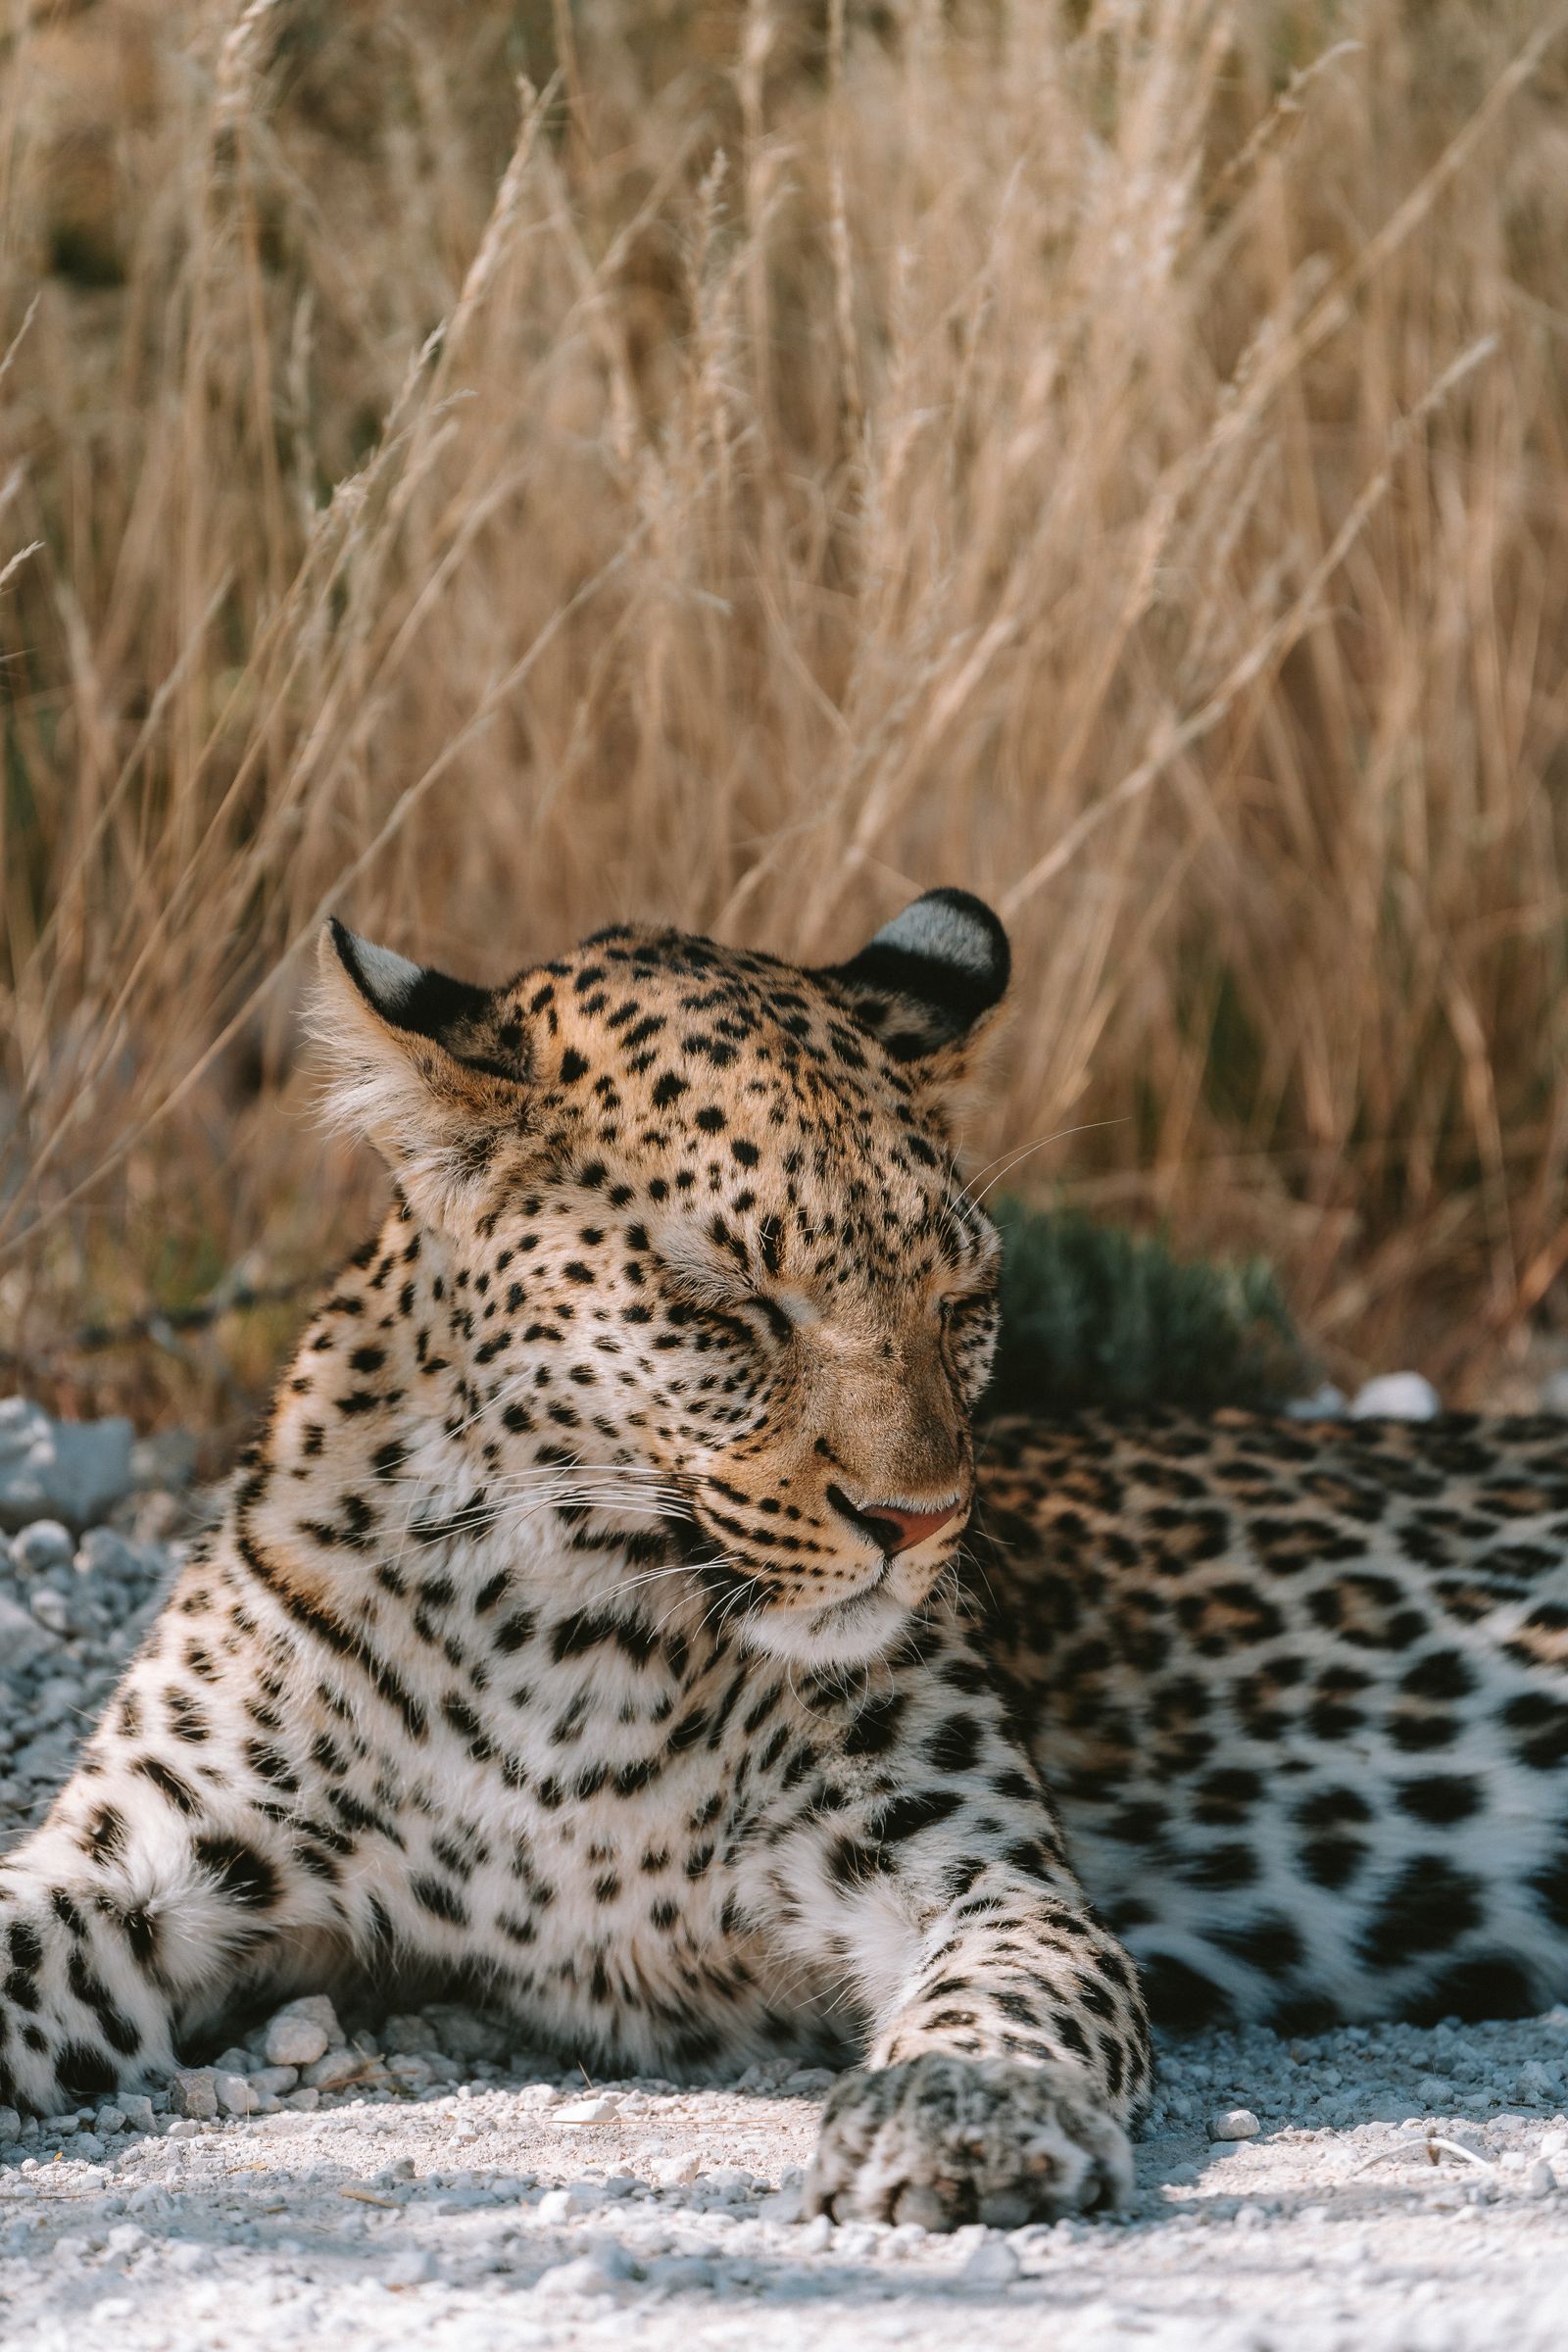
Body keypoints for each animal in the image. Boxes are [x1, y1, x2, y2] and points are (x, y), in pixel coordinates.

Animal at [2, 887, 1566, 2231]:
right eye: (729, 1307)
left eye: (962, 1301)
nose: (921, 1520)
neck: (561, 1626)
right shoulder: (147, 1853)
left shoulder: (974, 1873)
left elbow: (1010, 1998)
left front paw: (960, 2120)